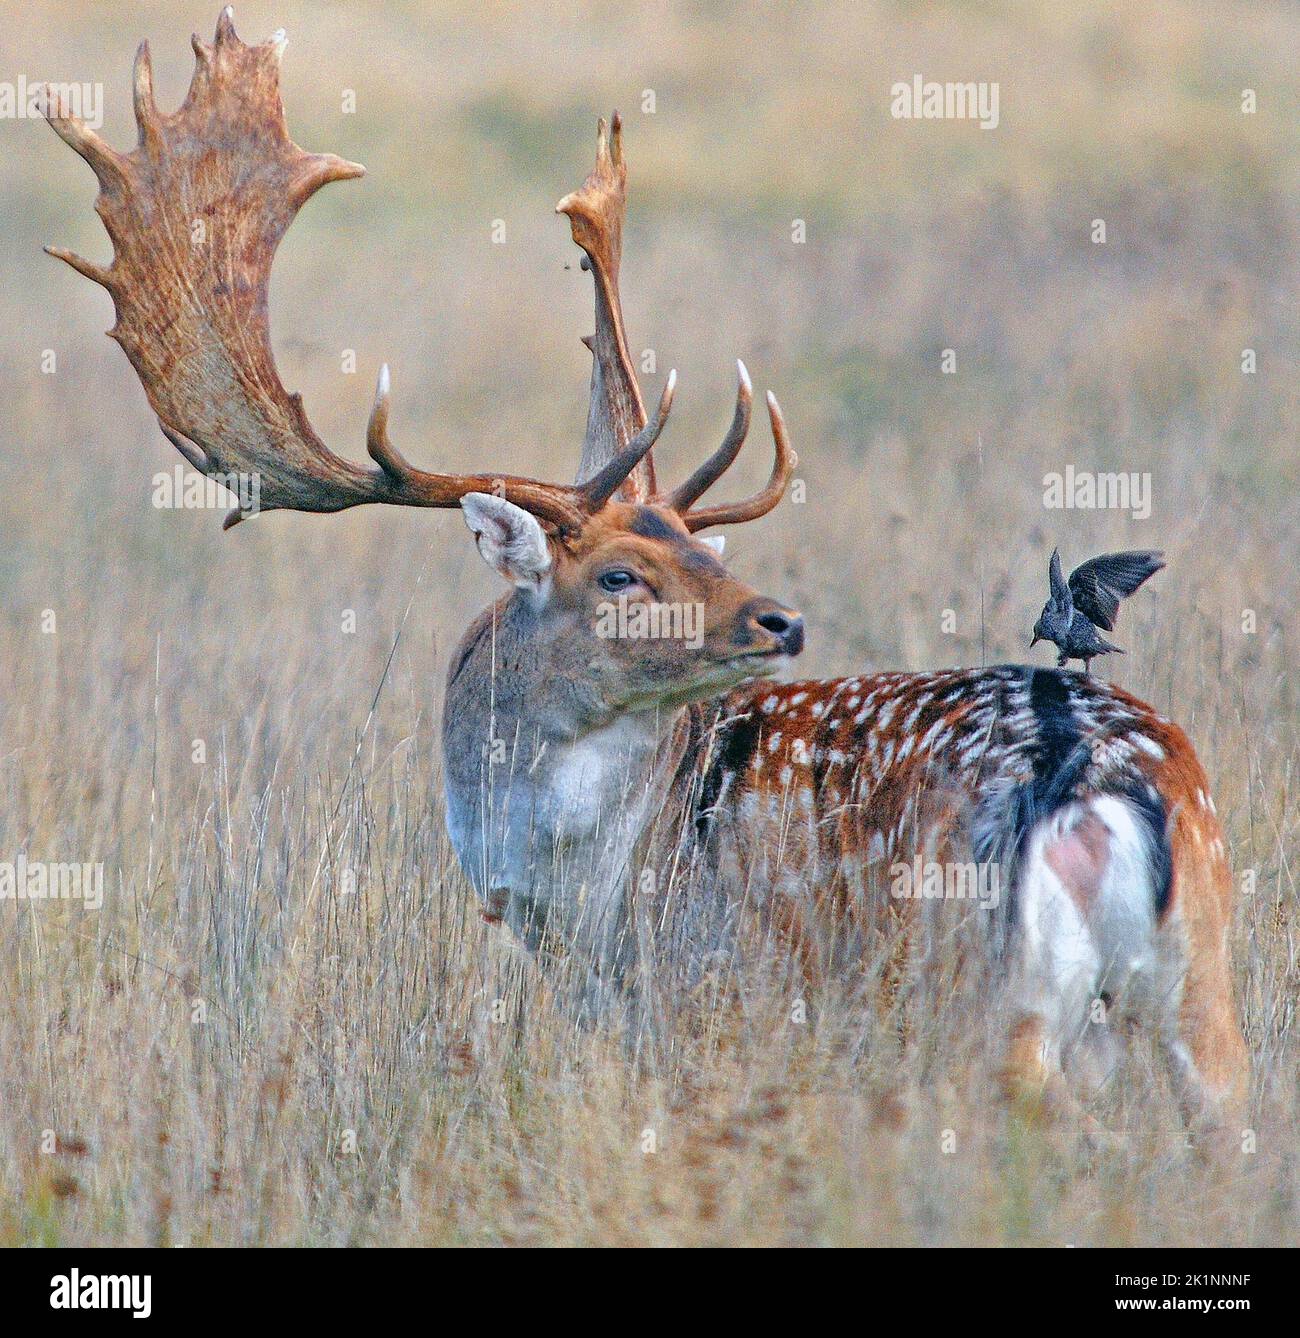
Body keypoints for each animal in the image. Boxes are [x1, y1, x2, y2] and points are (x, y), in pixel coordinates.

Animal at [44, 9, 1247, 1139]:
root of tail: (1106, 781)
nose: (780, 621)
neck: (586, 907)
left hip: (986, 992)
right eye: (624, 573)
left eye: (704, 550)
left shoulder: (713, 996)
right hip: (1203, 980)